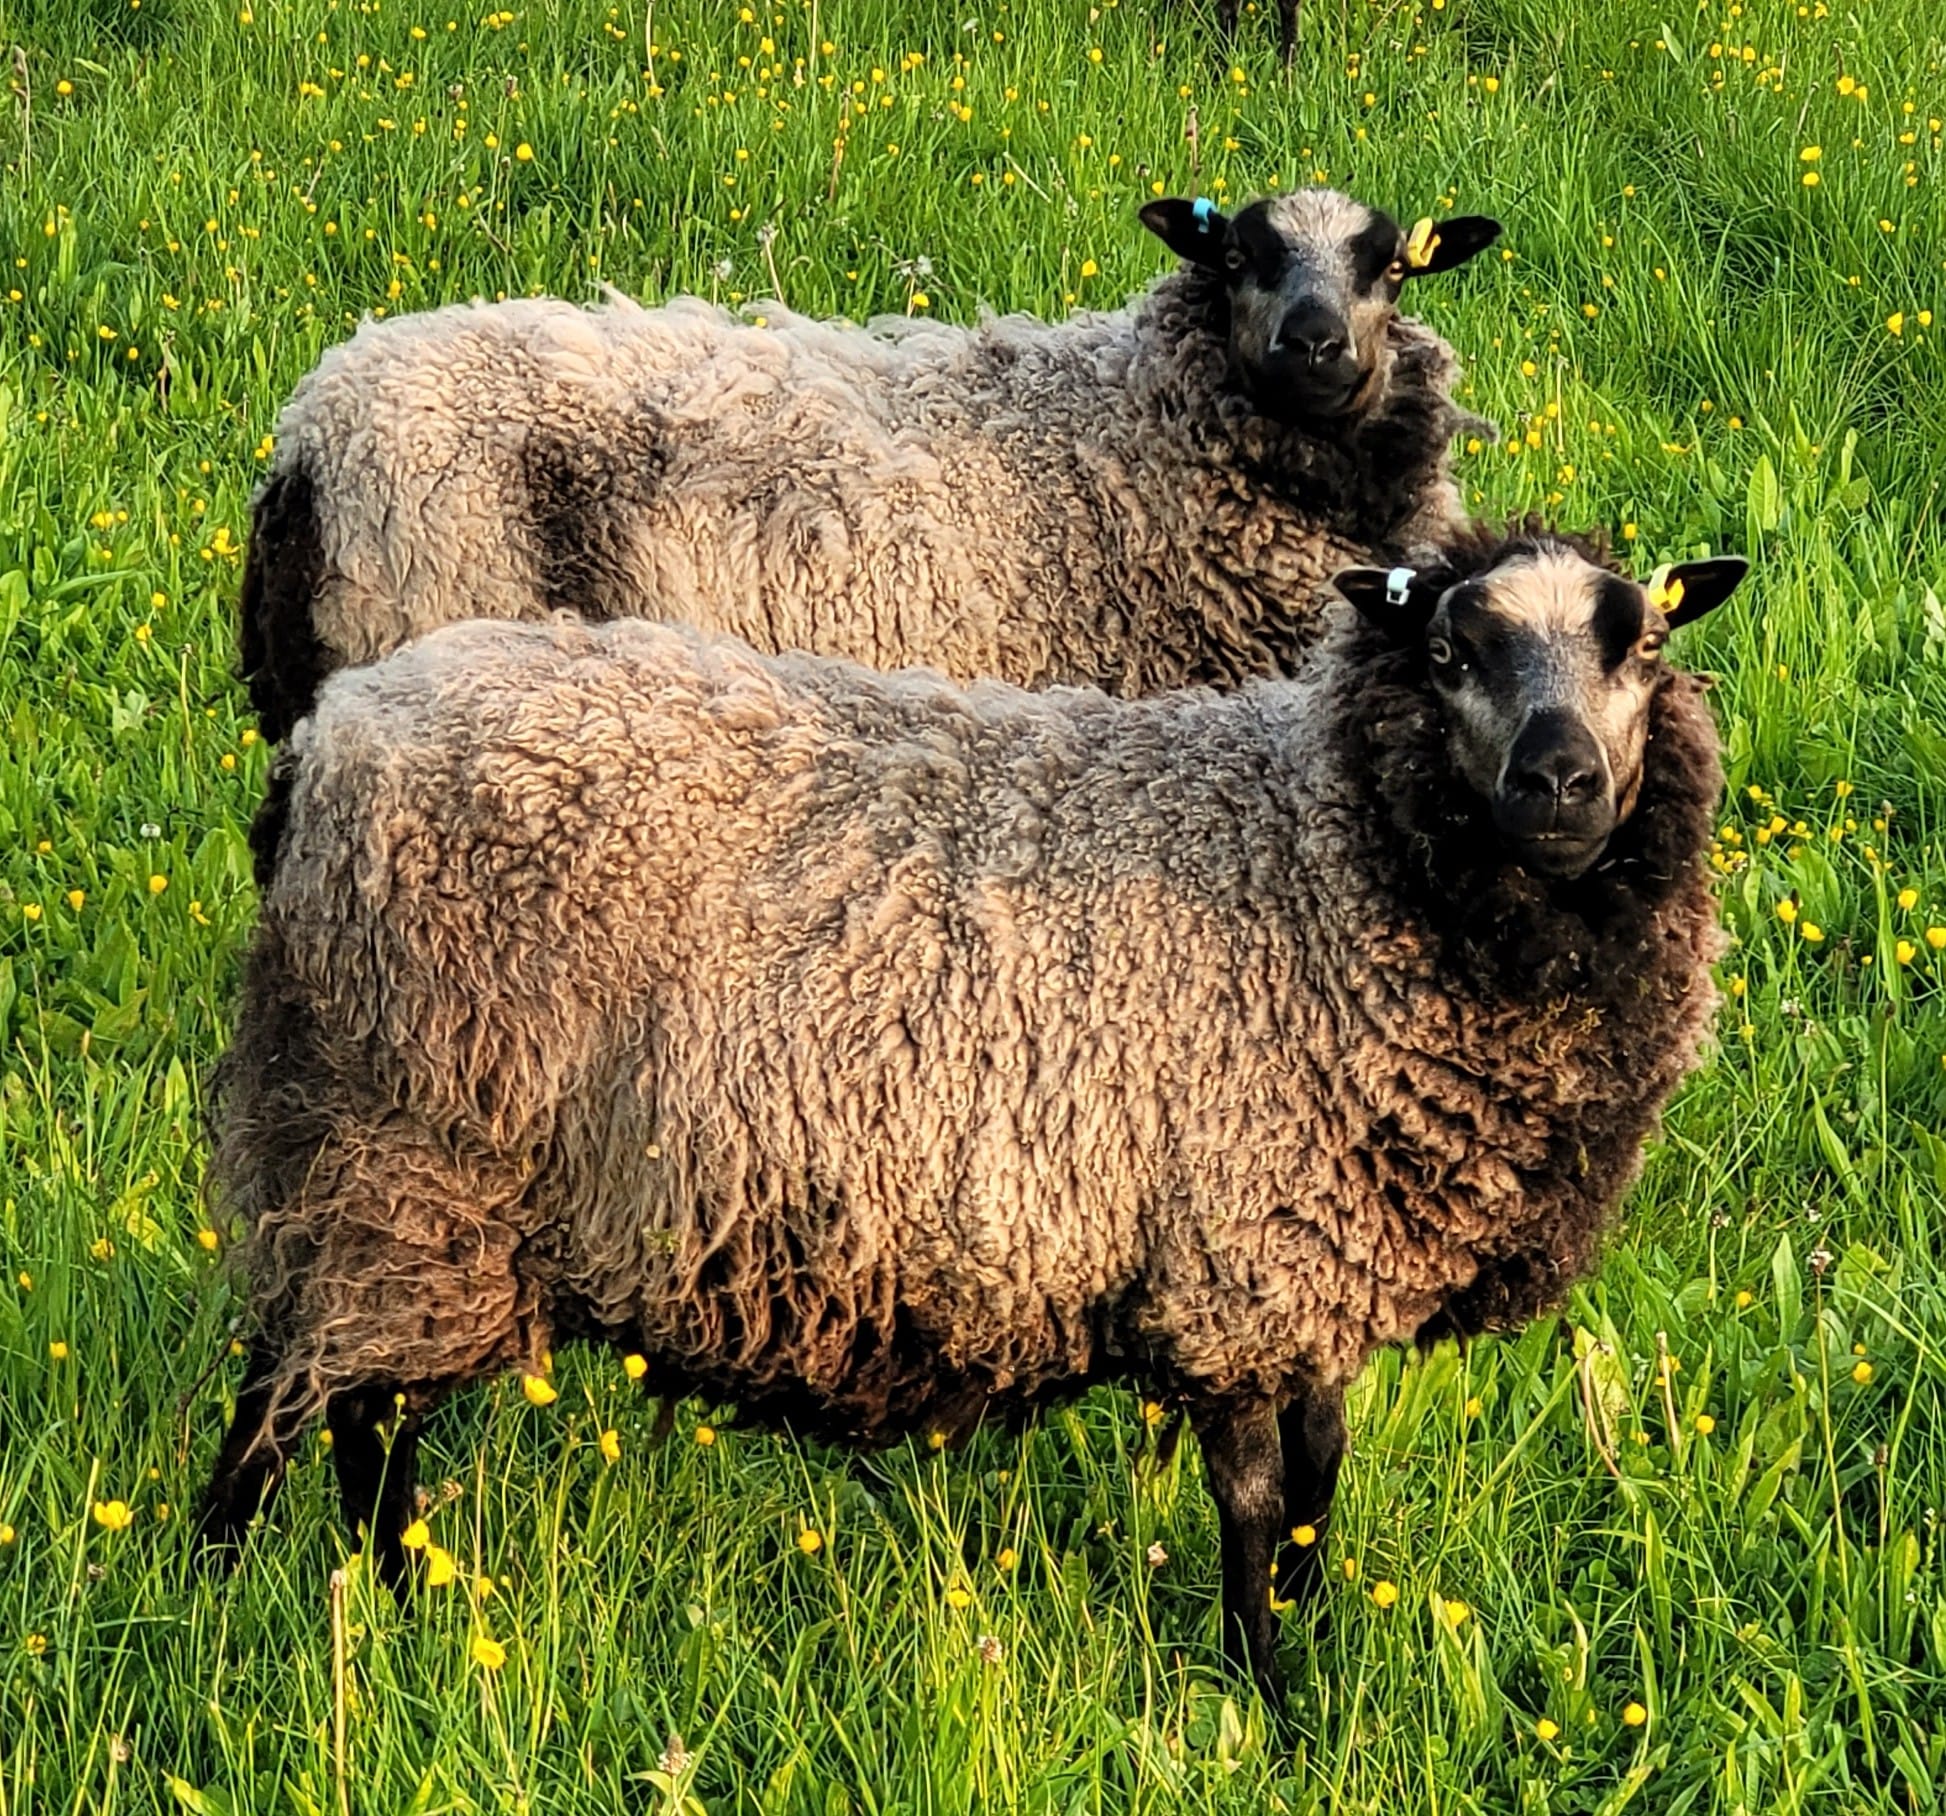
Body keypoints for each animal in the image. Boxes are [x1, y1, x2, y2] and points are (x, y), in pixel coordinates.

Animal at [194, 528, 1748, 1703]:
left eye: (1640, 644)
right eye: (1446, 652)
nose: (1559, 780)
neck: (1316, 853)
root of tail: (327, 744)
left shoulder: (1309, 1257)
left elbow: (1317, 1477)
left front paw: (1311, 1638)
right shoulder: (1235, 1262)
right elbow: (1254, 1503)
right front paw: (1270, 1697)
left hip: (402, 1173)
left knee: (346, 1396)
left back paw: (385, 1600)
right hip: (412, 1146)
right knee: (305, 1394)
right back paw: (228, 1587)